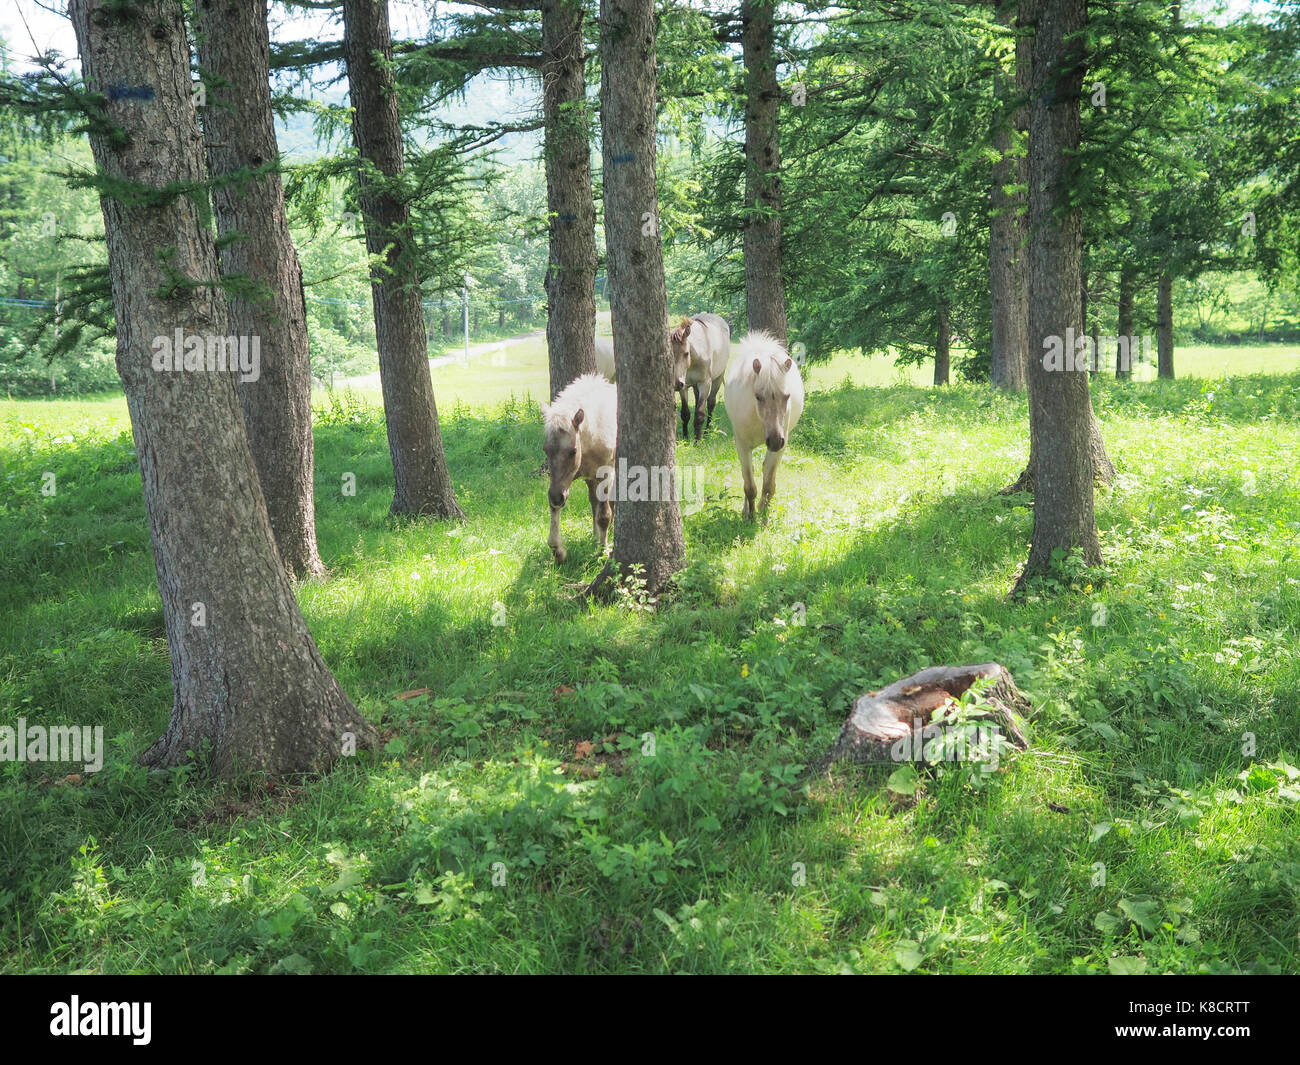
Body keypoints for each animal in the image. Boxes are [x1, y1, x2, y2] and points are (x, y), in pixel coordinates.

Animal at [541, 373, 618, 563]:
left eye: (573, 451)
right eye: (545, 449)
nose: (557, 497)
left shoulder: (606, 474)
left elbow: (604, 514)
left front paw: (603, 551)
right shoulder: (569, 480)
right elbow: (555, 508)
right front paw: (557, 550)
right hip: (591, 478)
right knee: (593, 501)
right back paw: (595, 535)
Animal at [723, 331, 804, 520]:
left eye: (787, 396)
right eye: (758, 396)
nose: (774, 441)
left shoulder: (781, 445)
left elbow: (768, 485)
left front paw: (764, 516)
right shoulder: (742, 445)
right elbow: (749, 485)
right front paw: (750, 516)